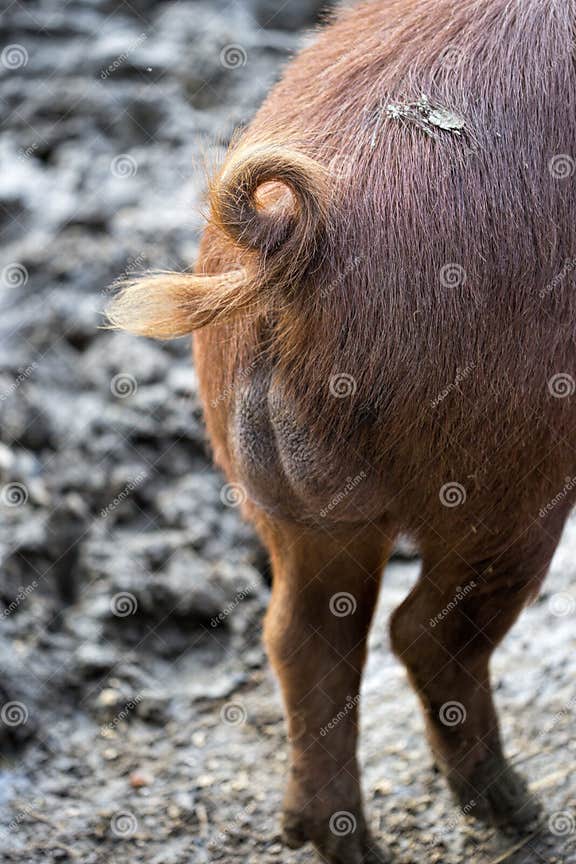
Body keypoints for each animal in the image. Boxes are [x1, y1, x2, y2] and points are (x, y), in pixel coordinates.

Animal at [107, 0, 576, 860]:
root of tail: (293, 244)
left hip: (290, 500)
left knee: (301, 636)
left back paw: (340, 839)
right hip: (515, 476)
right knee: (425, 632)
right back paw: (517, 813)